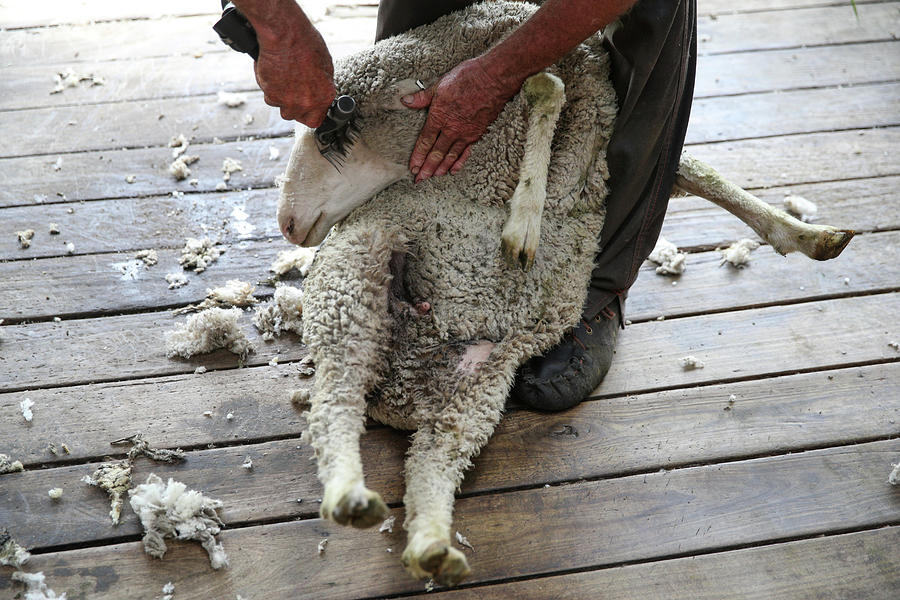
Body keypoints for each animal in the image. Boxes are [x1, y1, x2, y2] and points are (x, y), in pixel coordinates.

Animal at [276, 1, 854, 586]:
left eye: (329, 139)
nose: (286, 223)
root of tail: (397, 395)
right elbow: (547, 90)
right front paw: (523, 228)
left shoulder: (597, 156)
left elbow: (695, 171)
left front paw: (806, 236)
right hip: (350, 285)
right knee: (333, 407)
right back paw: (350, 497)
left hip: (475, 387)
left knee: (430, 466)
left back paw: (433, 545)